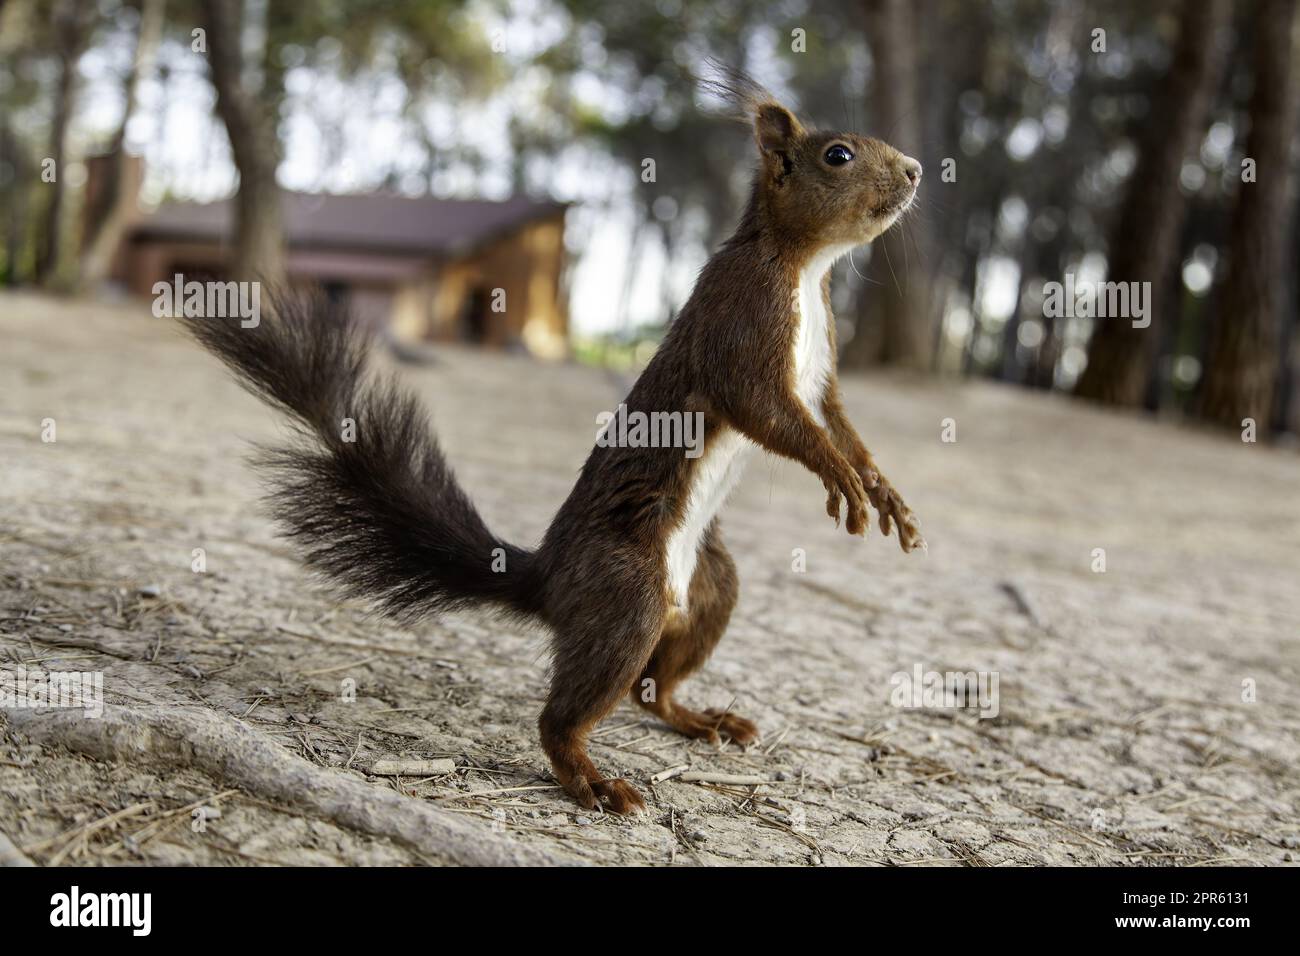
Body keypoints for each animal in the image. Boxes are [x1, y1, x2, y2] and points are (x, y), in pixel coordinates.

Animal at [185, 66, 925, 815]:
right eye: (838, 155)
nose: (918, 170)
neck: (806, 265)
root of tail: (546, 580)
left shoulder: (820, 372)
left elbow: (838, 421)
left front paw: (882, 490)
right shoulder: (743, 323)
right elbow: (771, 414)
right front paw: (841, 479)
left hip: (712, 588)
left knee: (651, 690)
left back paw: (699, 718)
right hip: (629, 591)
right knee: (568, 713)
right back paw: (593, 780)